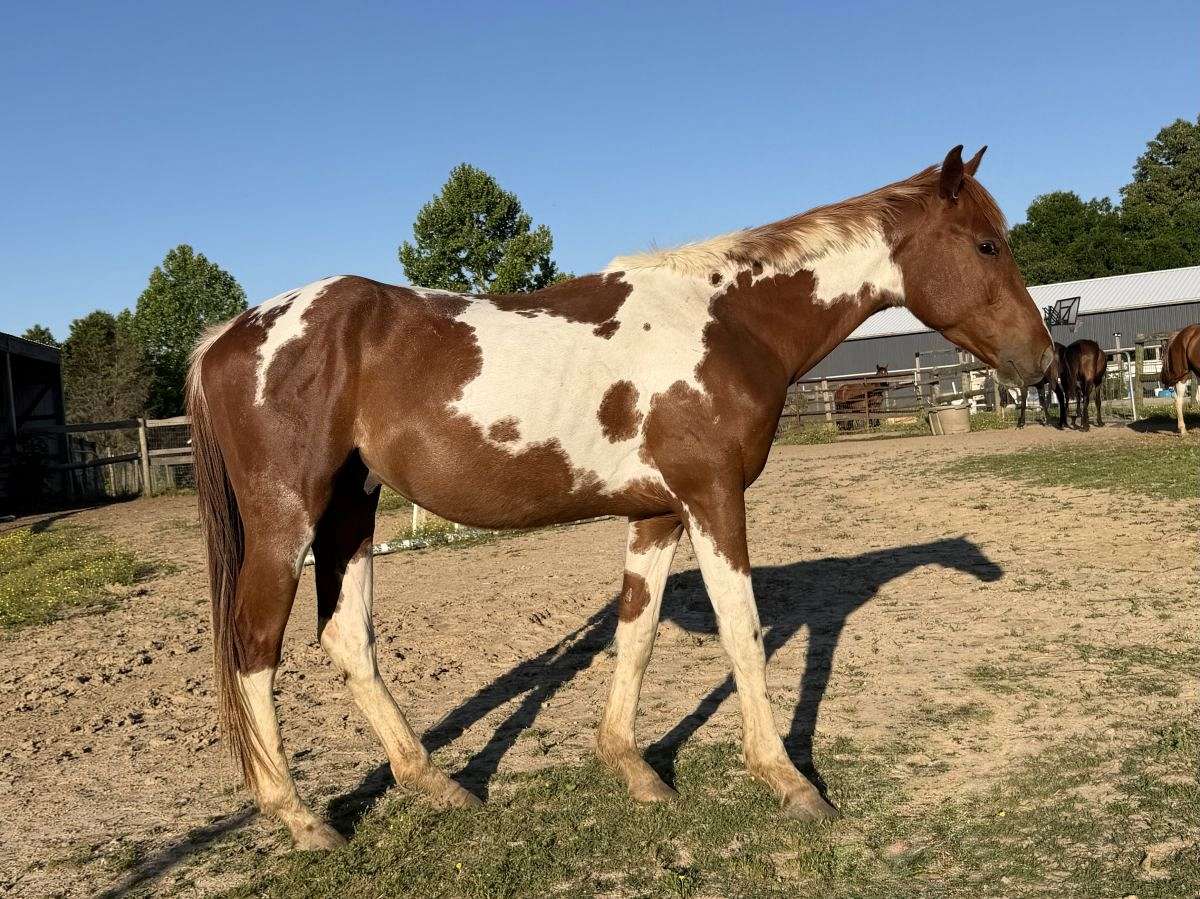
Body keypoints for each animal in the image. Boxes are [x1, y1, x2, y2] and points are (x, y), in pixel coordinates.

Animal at [187, 145, 1053, 849]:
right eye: (986, 243)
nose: (1040, 359)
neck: (729, 321)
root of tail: (230, 335)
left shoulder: (657, 513)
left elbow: (636, 634)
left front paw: (632, 767)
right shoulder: (713, 498)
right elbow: (743, 635)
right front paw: (788, 779)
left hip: (350, 513)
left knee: (347, 640)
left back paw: (437, 784)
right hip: (286, 523)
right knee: (254, 647)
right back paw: (301, 818)